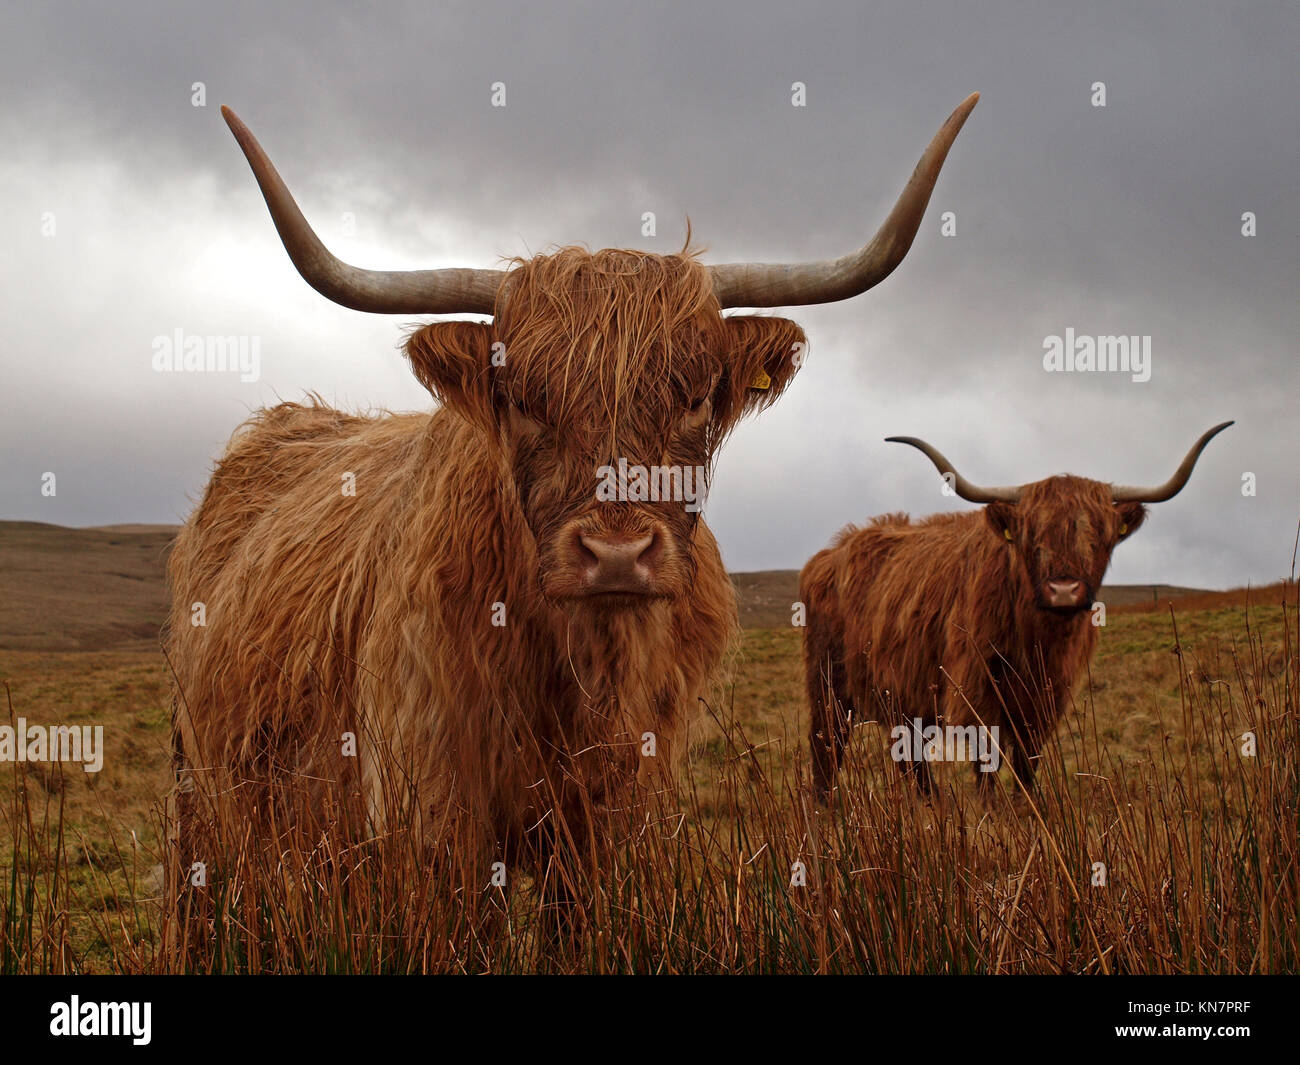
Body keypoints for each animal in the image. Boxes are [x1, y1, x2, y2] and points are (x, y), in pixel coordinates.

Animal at [166, 95, 979, 895]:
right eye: (524, 399)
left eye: (694, 397)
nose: (616, 555)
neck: (579, 665)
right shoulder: (428, 819)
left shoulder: (613, 818)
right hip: (201, 793)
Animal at [801, 423, 1232, 801]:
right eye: (1031, 535)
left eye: (1099, 536)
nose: (1064, 590)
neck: (1039, 637)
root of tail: (832, 552)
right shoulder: (977, 693)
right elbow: (987, 763)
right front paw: (993, 813)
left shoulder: (1043, 700)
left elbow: (1026, 762)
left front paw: (1027, 807)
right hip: (828, 684)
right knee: (827, 747)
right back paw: (828, 808)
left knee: (909, 757)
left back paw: (932, 804)